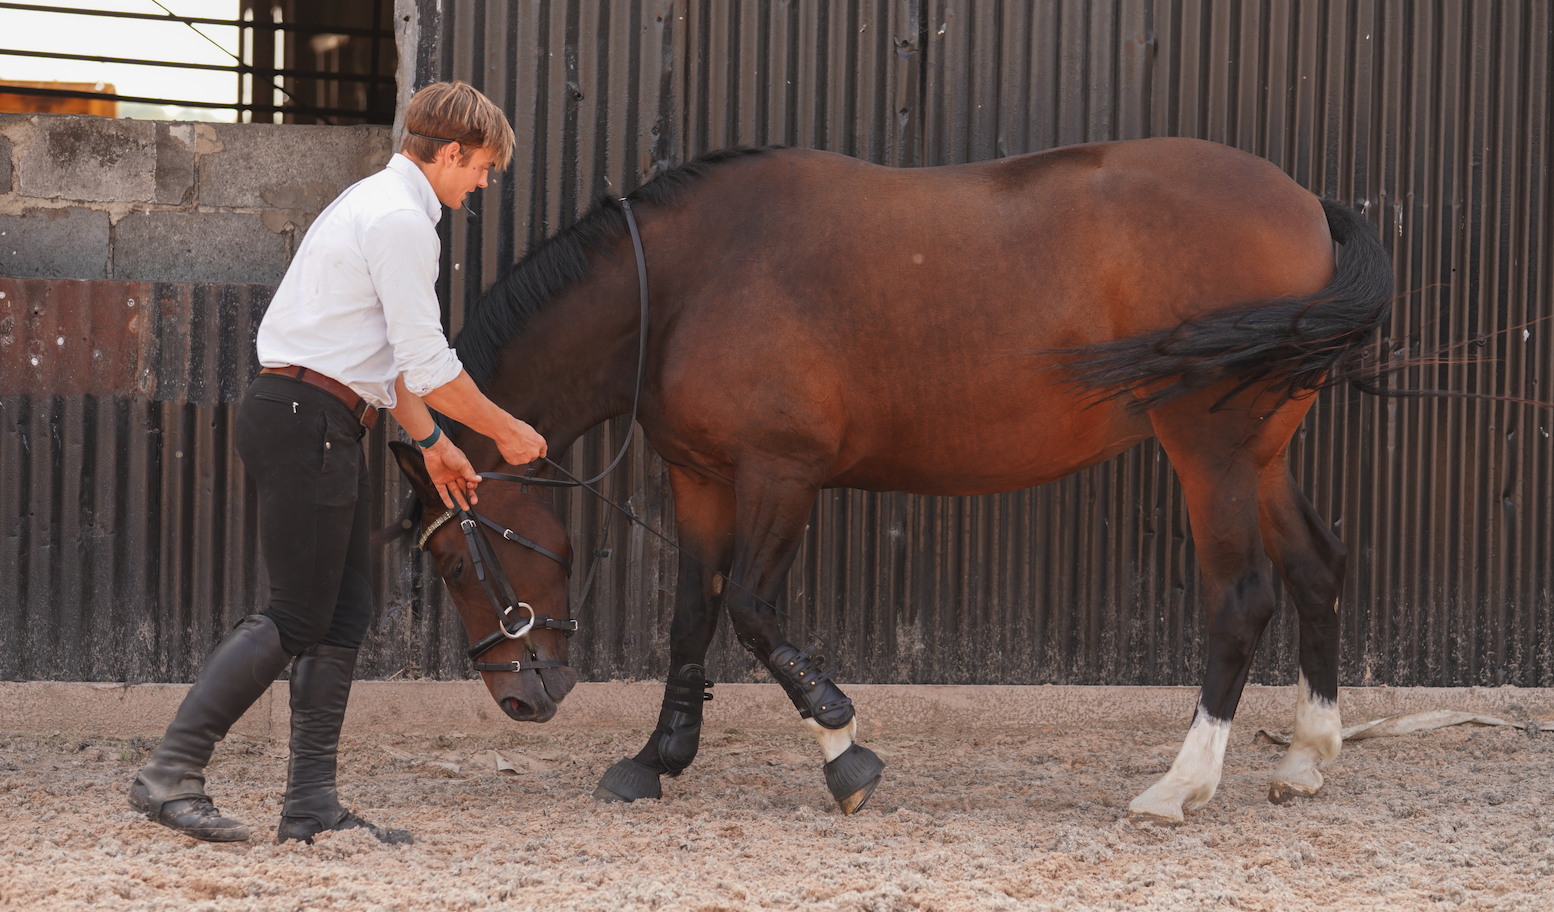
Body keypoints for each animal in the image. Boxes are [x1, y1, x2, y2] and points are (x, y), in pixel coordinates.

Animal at [387, 137, 1394, 822]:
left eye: (455, 563)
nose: (521, 699)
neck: (682, 284)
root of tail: (1306, 202)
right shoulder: (702, 478)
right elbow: (691, 620)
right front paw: (658, 756)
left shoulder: (781, 473)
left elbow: (752, 612)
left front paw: (843, 747)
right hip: (1261, 454)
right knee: (1318, 568)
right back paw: (1306, 756)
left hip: (1211, 451)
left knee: (1244, 597)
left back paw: (1181, 784)